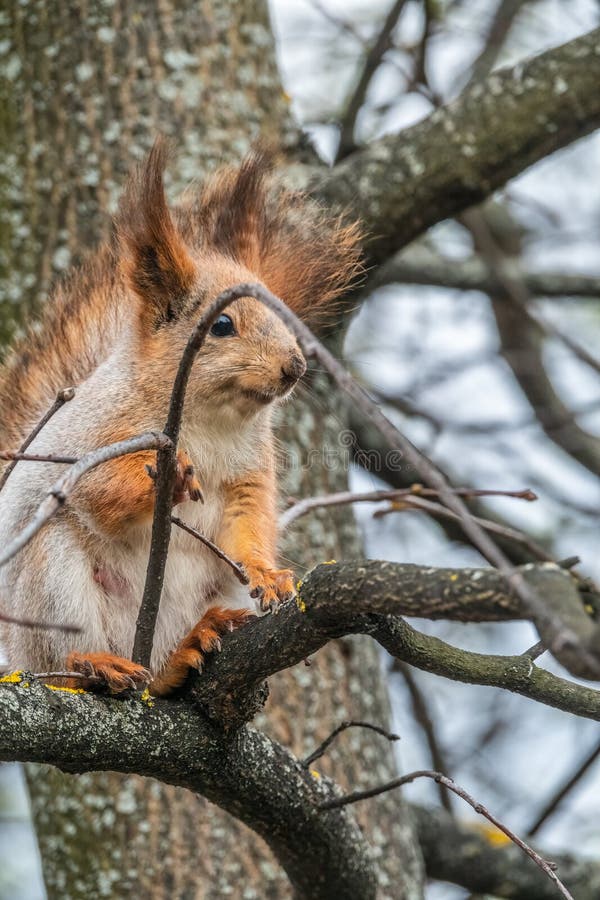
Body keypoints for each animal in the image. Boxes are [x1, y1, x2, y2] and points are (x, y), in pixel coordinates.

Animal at [0, 141, 361, 695]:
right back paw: (95, 663)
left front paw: (268, 574)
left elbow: (249, 523)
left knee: (159, 675)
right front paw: (165, 480)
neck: (210, 422)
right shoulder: (89, 438)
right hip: (52, 580)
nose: (296, 366)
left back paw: (190, 647)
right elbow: (98, 491)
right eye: (222, 324)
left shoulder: (248, 474)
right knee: (67, 661)